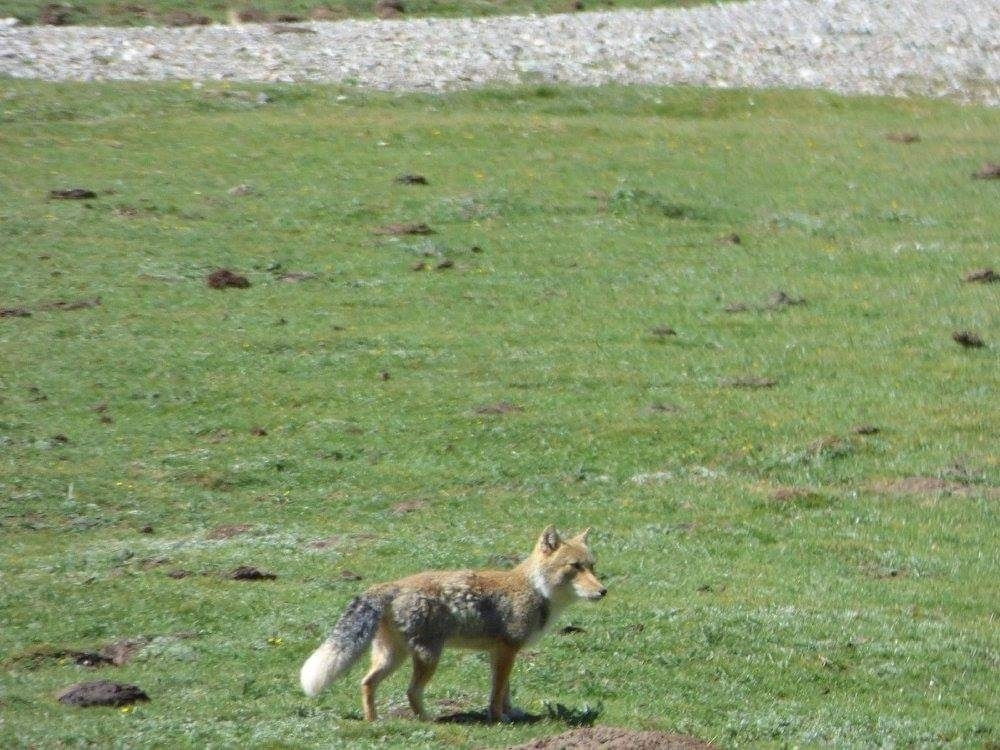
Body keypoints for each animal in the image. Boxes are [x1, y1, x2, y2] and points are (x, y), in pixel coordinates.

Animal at [300, 525, 606, 722]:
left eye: (592, 566)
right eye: (575, 567)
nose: (603, 591)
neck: (534, 590)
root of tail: (392, 585)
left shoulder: (502, 653)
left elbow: (505, 691)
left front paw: (511, 713)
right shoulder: (506, 651)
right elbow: (496, 693)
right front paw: (498, 718)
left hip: (393, 658)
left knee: (366, 683)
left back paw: (373, 721)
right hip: (428, 657)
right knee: (411, 692)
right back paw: (427, 719)